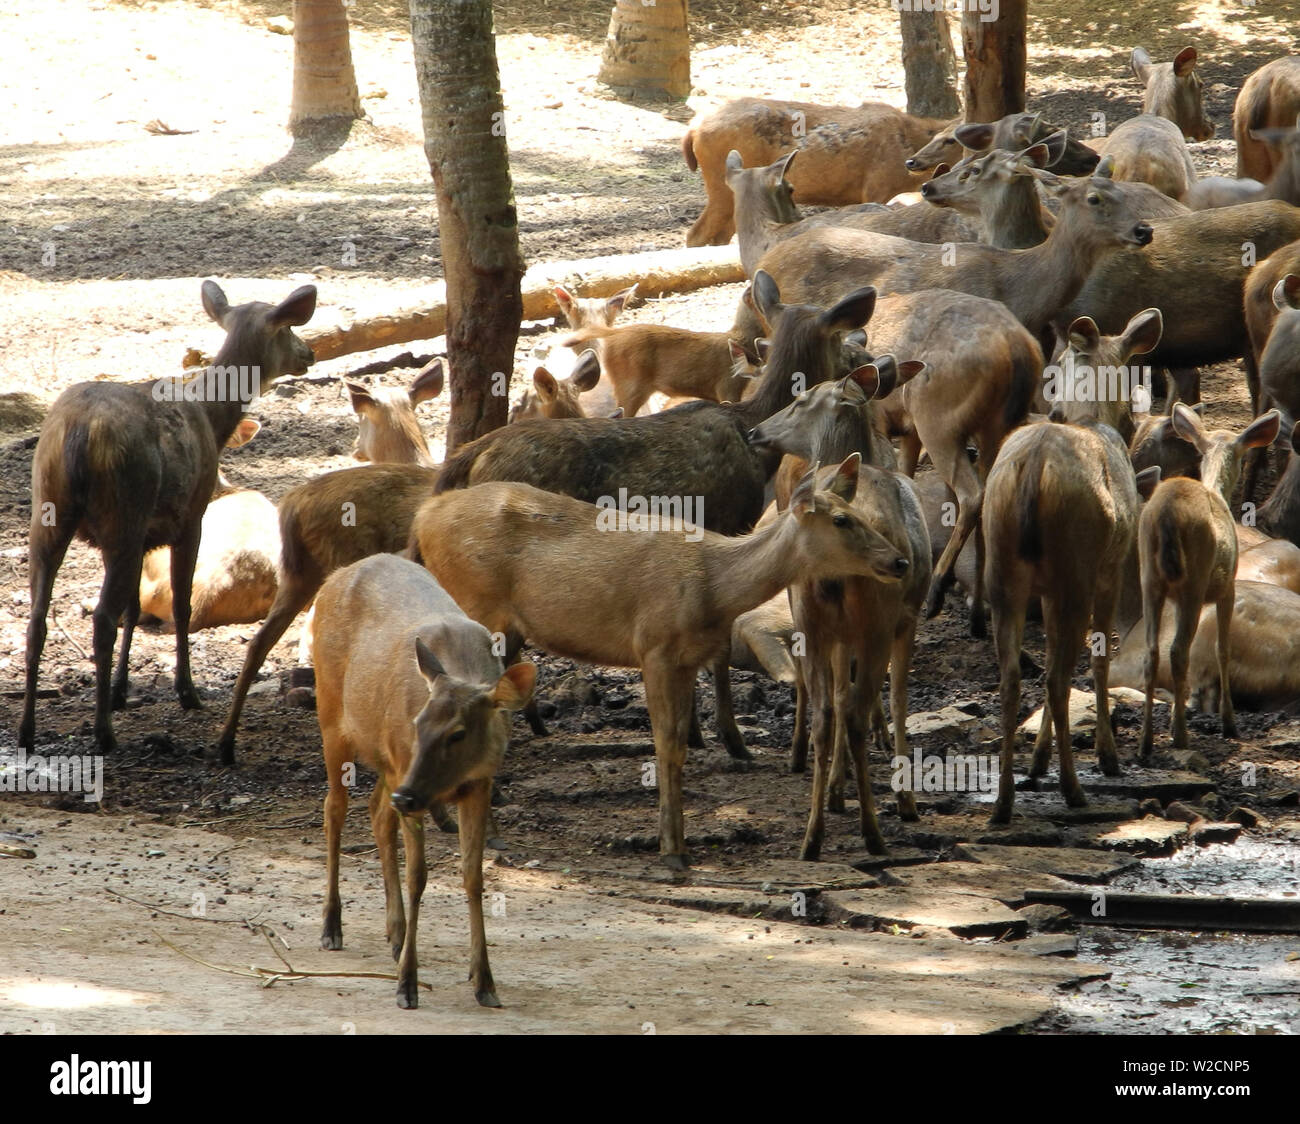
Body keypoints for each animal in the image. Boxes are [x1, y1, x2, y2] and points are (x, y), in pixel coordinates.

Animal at [20, 282, 316, 754]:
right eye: (288, 328)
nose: (309, 352)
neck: (211, 420)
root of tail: (80, 436)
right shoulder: (192, 515)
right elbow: (180, 601)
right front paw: (186, 691)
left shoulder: (142, 537)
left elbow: (135, 605)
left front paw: (121, 689)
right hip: (125, 509)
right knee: (102, 618)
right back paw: (103, 733)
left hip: (49, 511)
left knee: (38, 619)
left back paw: (28, 731)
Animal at [313, 552, 535, 1009]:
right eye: (417, 723)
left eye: (458, 733)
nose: (409, 797)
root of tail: (333, 577)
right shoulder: (405, 768)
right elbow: (418, 877)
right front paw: (407, 985)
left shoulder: (479, 784)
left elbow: (473, 876)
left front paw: (484, 981)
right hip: (333, 716)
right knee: (334, 809)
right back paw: (331, 926)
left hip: (386, 762)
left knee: (377, 813)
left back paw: (395, 933)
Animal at [413, 454, 909, 869]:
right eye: (843, 520)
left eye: (861, 514)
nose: (900, 561)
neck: (714, 588)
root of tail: (424, 516)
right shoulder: (654, 648)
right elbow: (666, 744)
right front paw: (673, 849)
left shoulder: (687, 658)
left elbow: (681, 745)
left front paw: (675, 840)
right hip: (477, 602)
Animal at [983, 419, 1149, 824]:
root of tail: (1034, 464)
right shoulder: (1111, 571)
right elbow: (1101, 659)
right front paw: (1108, 757)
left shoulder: (1046, 592)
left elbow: (1048, 655)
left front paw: (1039, 760)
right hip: (1078, 566)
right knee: (1059, 677)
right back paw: (1073, 789)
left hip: (1001, 570)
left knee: (1012, 679)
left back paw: (1003, 803)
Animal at [1136, 405, 1281, 753]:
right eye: (1243, 455)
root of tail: (1167, 515)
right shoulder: (1227, 586)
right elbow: (1222, 649)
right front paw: (1229, 723)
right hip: (1194, 581)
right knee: (1177, 652)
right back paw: (1180, 736)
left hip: (1149, 577)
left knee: (1151, 654)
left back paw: (1146, 743)